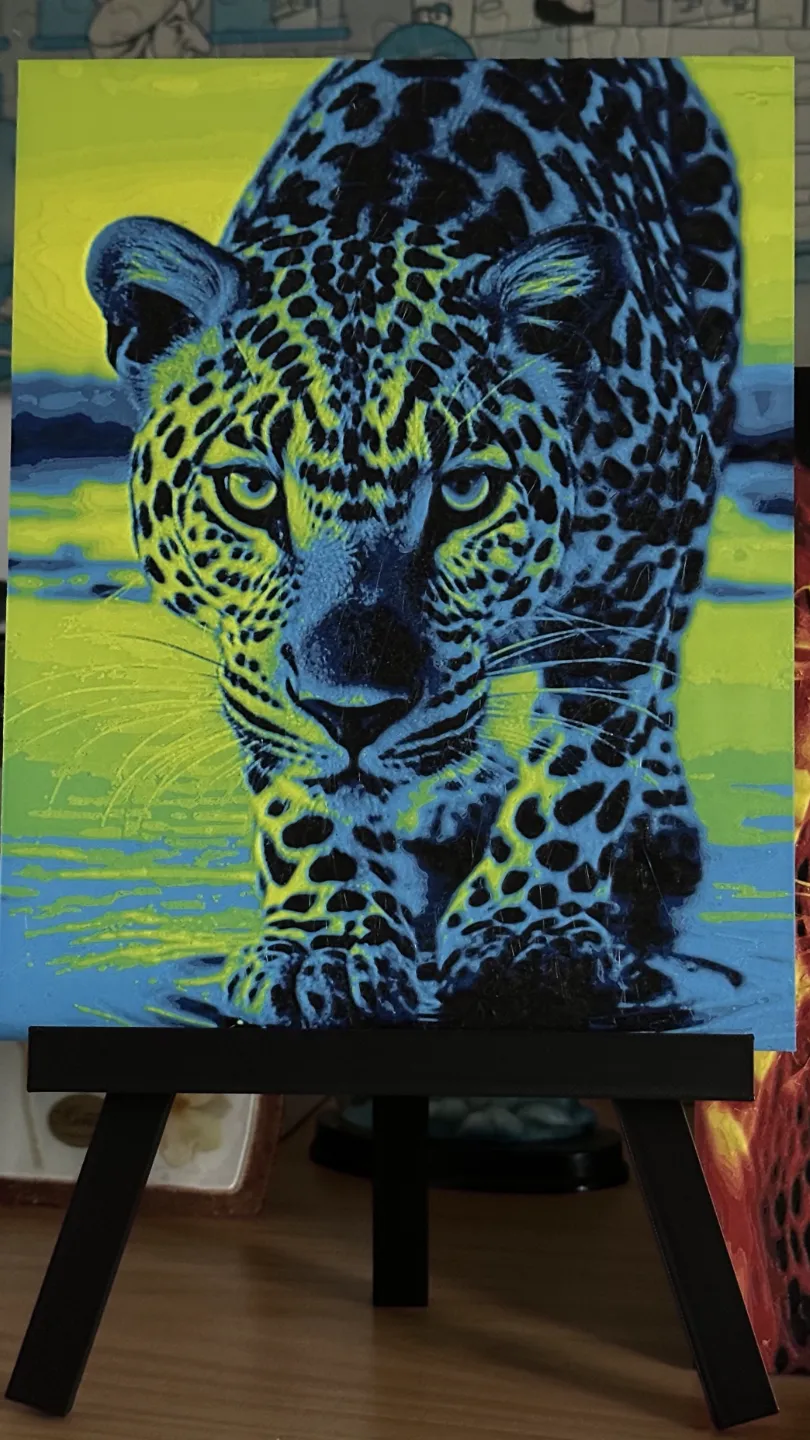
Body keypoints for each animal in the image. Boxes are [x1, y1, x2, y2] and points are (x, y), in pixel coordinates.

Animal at [87, 58, 742, 1029]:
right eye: (252, 491)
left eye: (466, 494)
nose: (355, 712)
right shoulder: (250, 656)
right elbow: (298, 777)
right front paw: (327, 941)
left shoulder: (645, 542)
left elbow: (586, 751)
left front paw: (529, 937)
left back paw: (652, 815)